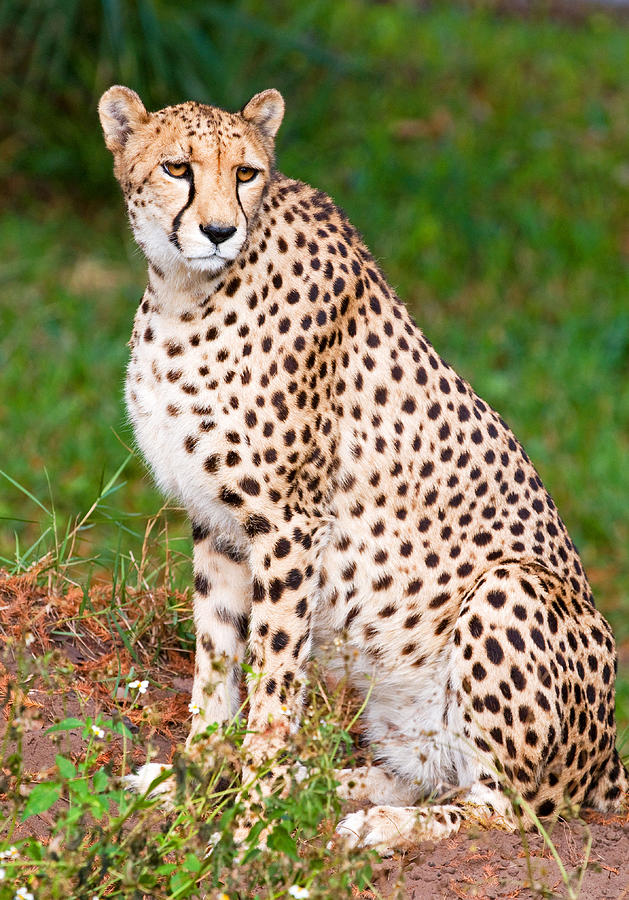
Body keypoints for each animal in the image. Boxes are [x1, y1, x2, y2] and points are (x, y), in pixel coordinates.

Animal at [99, 84, 628, 853]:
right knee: (425, 772)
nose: (220, 231)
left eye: (247, 173)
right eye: (177, 168)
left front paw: (248, 821)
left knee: (503, 807)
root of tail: (610, 752)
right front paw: (198, 780)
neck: (183, 292)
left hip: (511, 589)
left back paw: (370, 822)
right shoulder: (215, 523)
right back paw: (316, 787)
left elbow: (273, 682)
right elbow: (215, 665)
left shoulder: (288, 524)